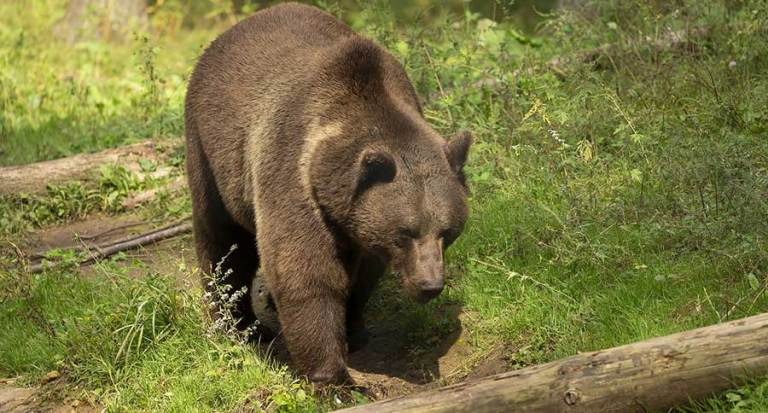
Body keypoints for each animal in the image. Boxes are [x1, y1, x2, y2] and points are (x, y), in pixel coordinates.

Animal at [184, 2, 472, 385]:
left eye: (448, 231)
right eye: (406, 231)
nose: (430, 285)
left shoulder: (360, 221)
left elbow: (363, 272)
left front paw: (354, 328)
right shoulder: (294, 171)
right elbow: (306, 271)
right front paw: (334, 377)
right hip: (212, 153)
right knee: (223, 242)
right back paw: (240, 324)